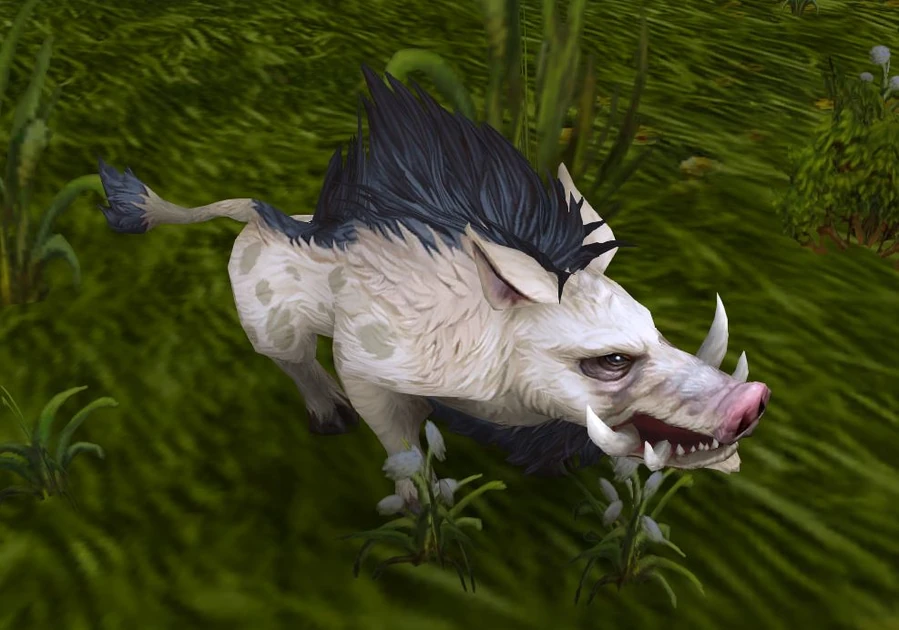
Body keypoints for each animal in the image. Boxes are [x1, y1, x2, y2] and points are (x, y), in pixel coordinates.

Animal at [97, 65, 770, 503]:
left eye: (659, 333)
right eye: (609, 362)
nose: (753, 400)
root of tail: (256, 215)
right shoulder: (369, 365)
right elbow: (399, 443)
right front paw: (424, 513)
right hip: (264, 311)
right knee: (288, 356)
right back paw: (329, 421)